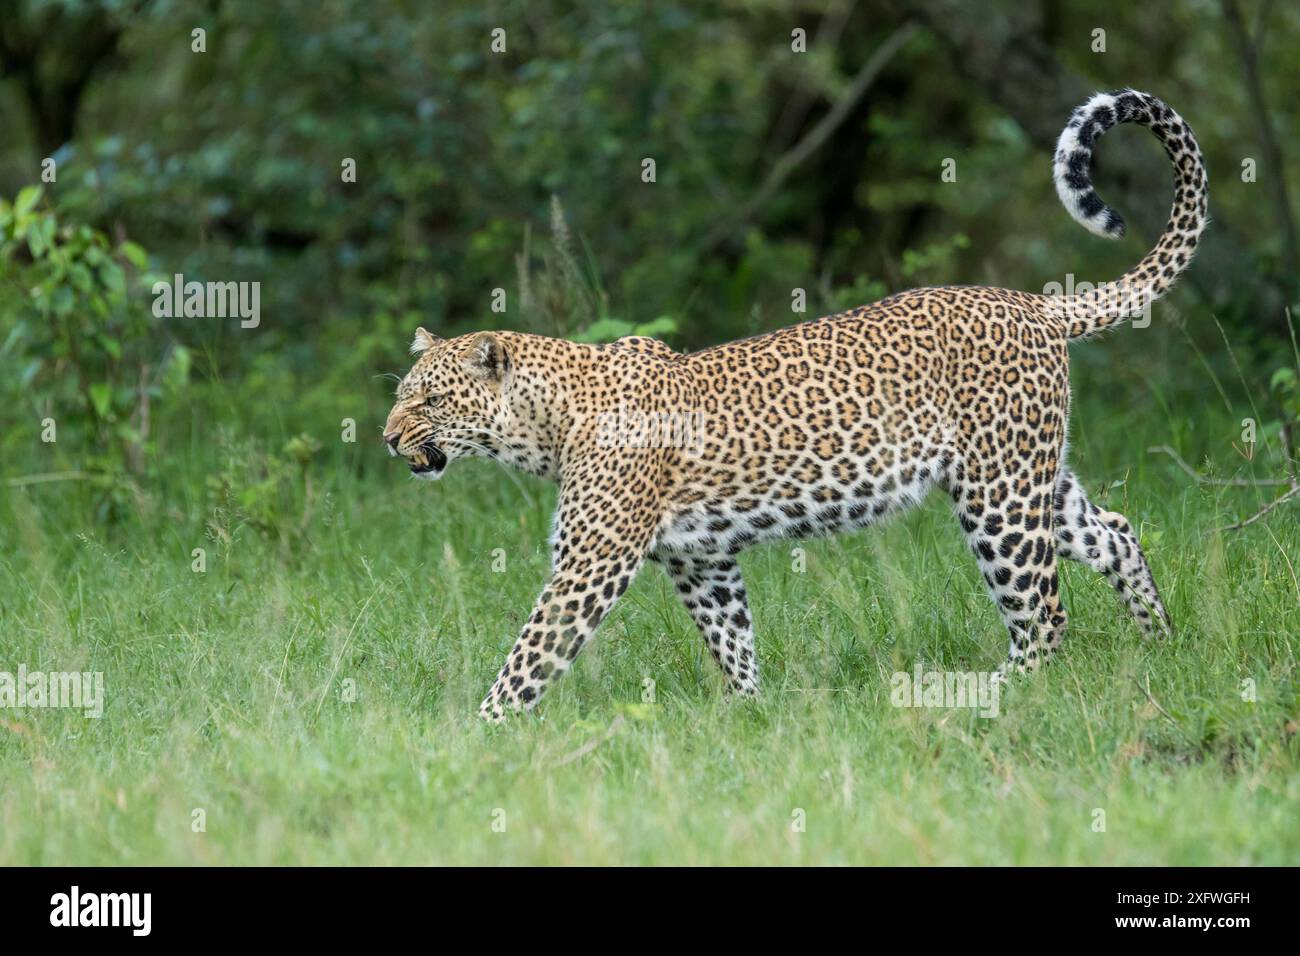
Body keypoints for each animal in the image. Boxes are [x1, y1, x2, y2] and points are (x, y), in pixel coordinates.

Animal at [383, 89, 1206, 721]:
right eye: (399, 396)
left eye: (426, 397)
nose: (387, 440)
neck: (546, 425)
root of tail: (1037, 305)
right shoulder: (702, 559)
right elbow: (733, 640)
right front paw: (750, 715)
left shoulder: (593, 562)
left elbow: (531, 654)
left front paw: (478, 737)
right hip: (1032, 477)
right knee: (1116, 533)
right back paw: (1160, 644)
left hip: (998, 495)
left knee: (1043, 613)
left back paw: (996, 692)